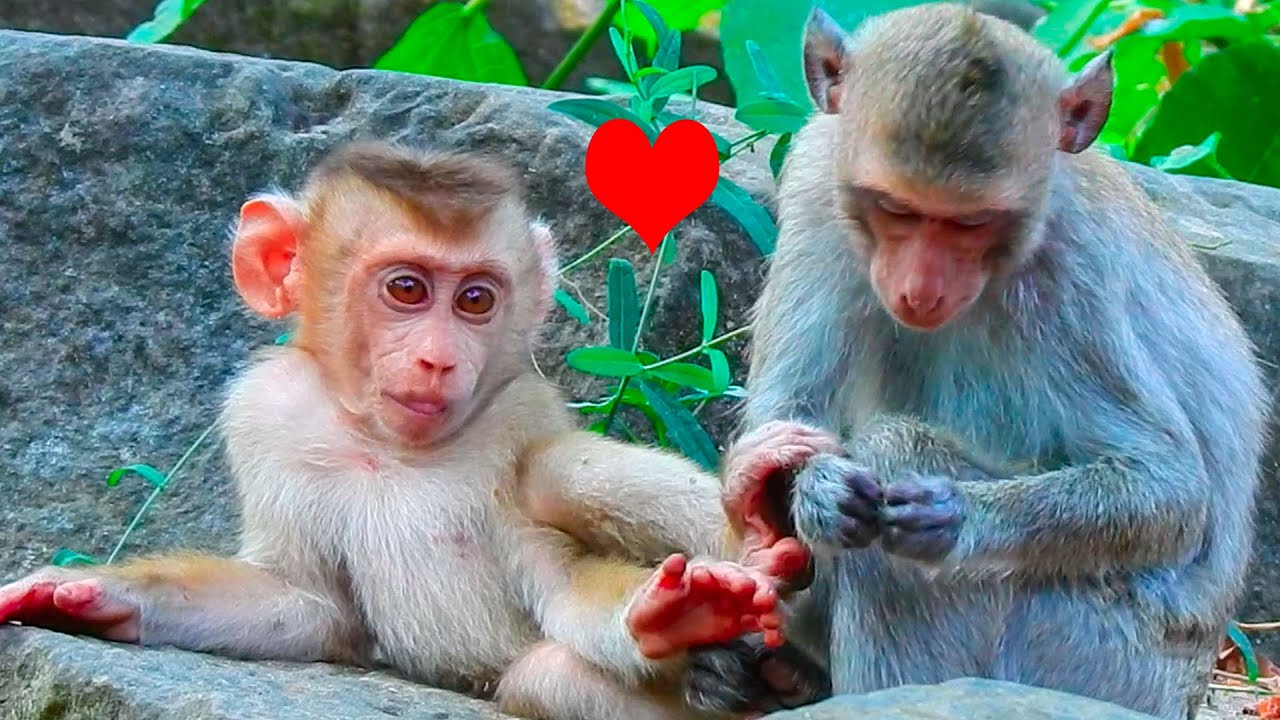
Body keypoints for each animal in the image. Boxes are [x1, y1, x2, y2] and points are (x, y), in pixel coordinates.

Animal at [0, 141, 813, 720]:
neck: (388, 446)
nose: (439, 358)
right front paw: (91, 596)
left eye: (476, 299)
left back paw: (751, 551)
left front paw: (683, 607)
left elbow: (555, 565)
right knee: (547, 677)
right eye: (406, 289)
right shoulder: (265, 416)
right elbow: (307, 605)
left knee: (554, 480)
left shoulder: (518, 410)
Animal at [682, 4, 1270, 720]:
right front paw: (811, 487)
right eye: (895, 208)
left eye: (973, 224)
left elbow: (1169, 487)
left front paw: (956, 516)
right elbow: (791, 408)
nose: (921, 289)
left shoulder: (1069, 274)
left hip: (1098, 652)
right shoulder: (819, 182)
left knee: (896, 449)